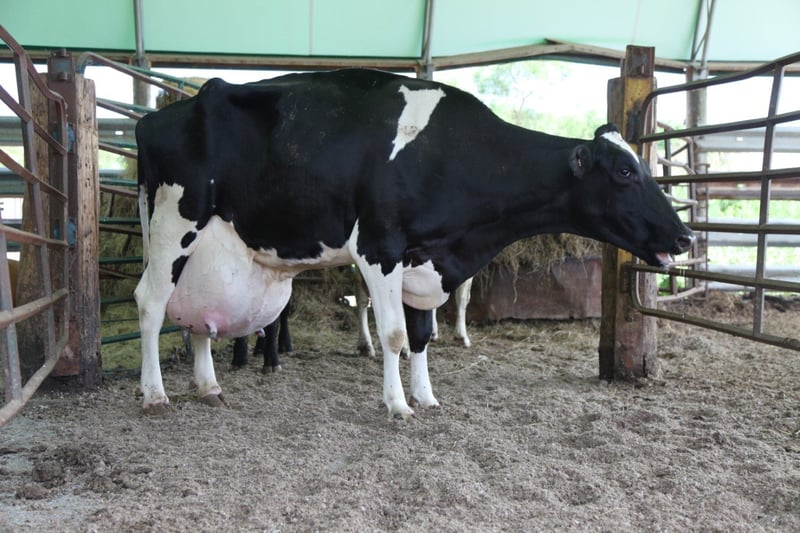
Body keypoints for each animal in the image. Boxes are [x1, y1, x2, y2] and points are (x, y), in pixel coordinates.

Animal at [134, 68, 694, 419]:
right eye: (625, 171)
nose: (686, 235)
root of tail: (159, 116)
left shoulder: (427, 261)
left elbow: (422, 336)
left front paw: (425, 398)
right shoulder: (379, 247)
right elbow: (395, 335)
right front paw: (397, 405)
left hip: (204, 247)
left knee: (199, 317)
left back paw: (208, 387)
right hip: (173, 224)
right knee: (151, 302)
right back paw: (155, 395)